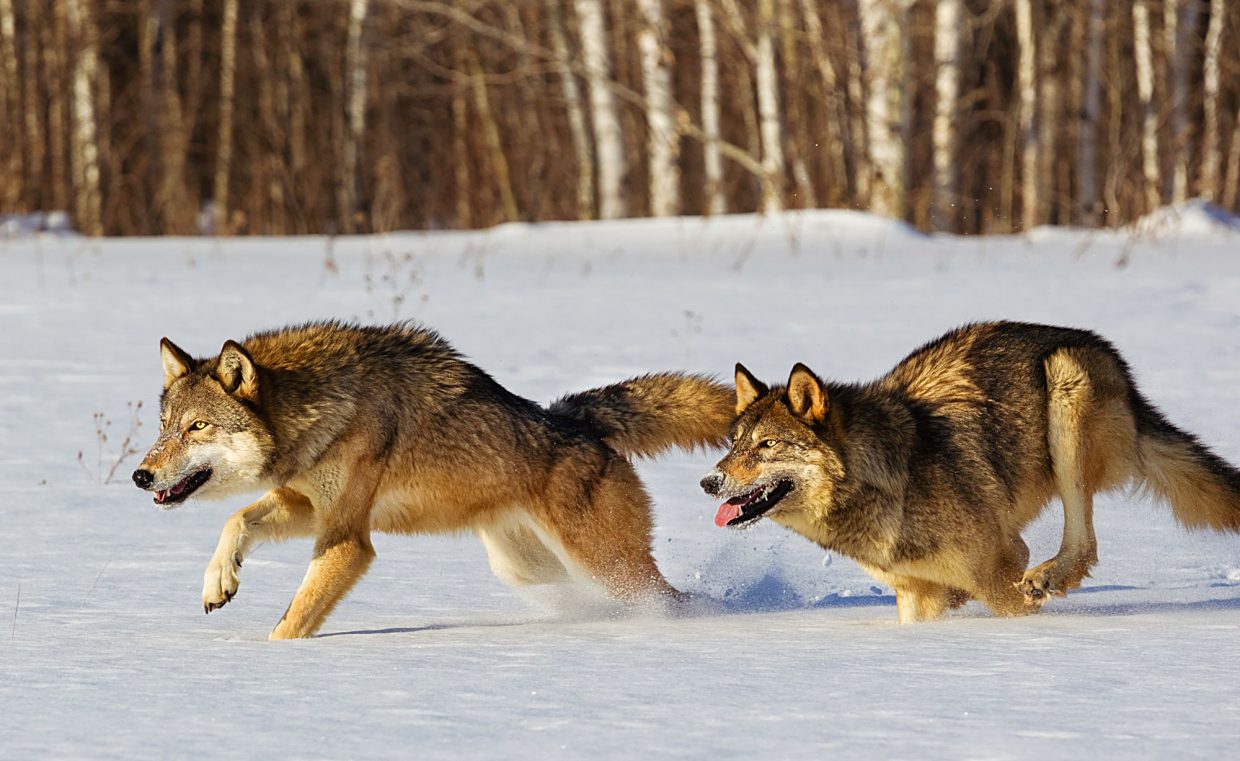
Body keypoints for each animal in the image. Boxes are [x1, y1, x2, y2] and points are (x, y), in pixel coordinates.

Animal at [133, 321, 733, 639]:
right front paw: (219, 582)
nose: (141, 476)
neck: (324, 408)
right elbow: (236, 520)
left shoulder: (348, 539)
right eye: (163, 428)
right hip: (528, 568)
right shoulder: (310, 506)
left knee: (667, 597)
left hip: (603, 564)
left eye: (197, 427)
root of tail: (575, 420)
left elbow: (293, 619)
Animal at [701, 321, 1240, 623]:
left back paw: (1048, 577)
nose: (709, 482)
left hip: (1065, 393)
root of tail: (1108, 354)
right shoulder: (915, 596)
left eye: (767, 446)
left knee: (1084, 542)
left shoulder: (1000, 564)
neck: (887, 483)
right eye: (734, 445)